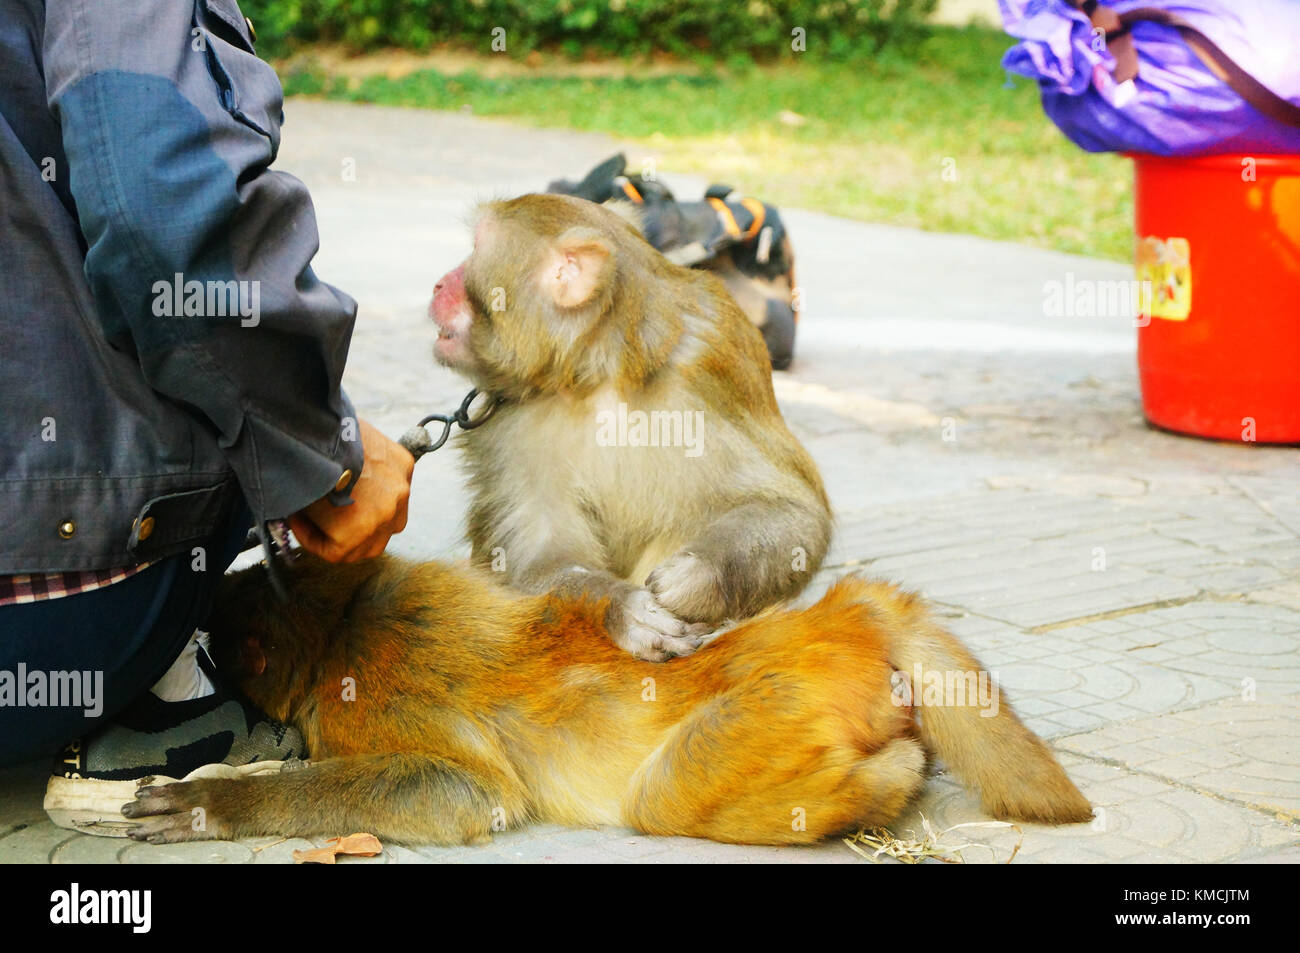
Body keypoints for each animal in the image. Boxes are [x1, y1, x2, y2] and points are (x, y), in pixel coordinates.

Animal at [121, 553, 1093, 846]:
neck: (337, 627)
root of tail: (844, 616)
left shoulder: (362, 700)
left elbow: (461, 793)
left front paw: (221, 801)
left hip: (772, 710)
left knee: (662, 795)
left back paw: (890, 779)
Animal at [428, 193, 831, 661]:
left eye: (474, 249)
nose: (438, 285)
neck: (600, 368)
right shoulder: (507, 424)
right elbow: (538, 555)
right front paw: (624, 607)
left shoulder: (719, 363)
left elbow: (791, 507)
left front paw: (698, 577)